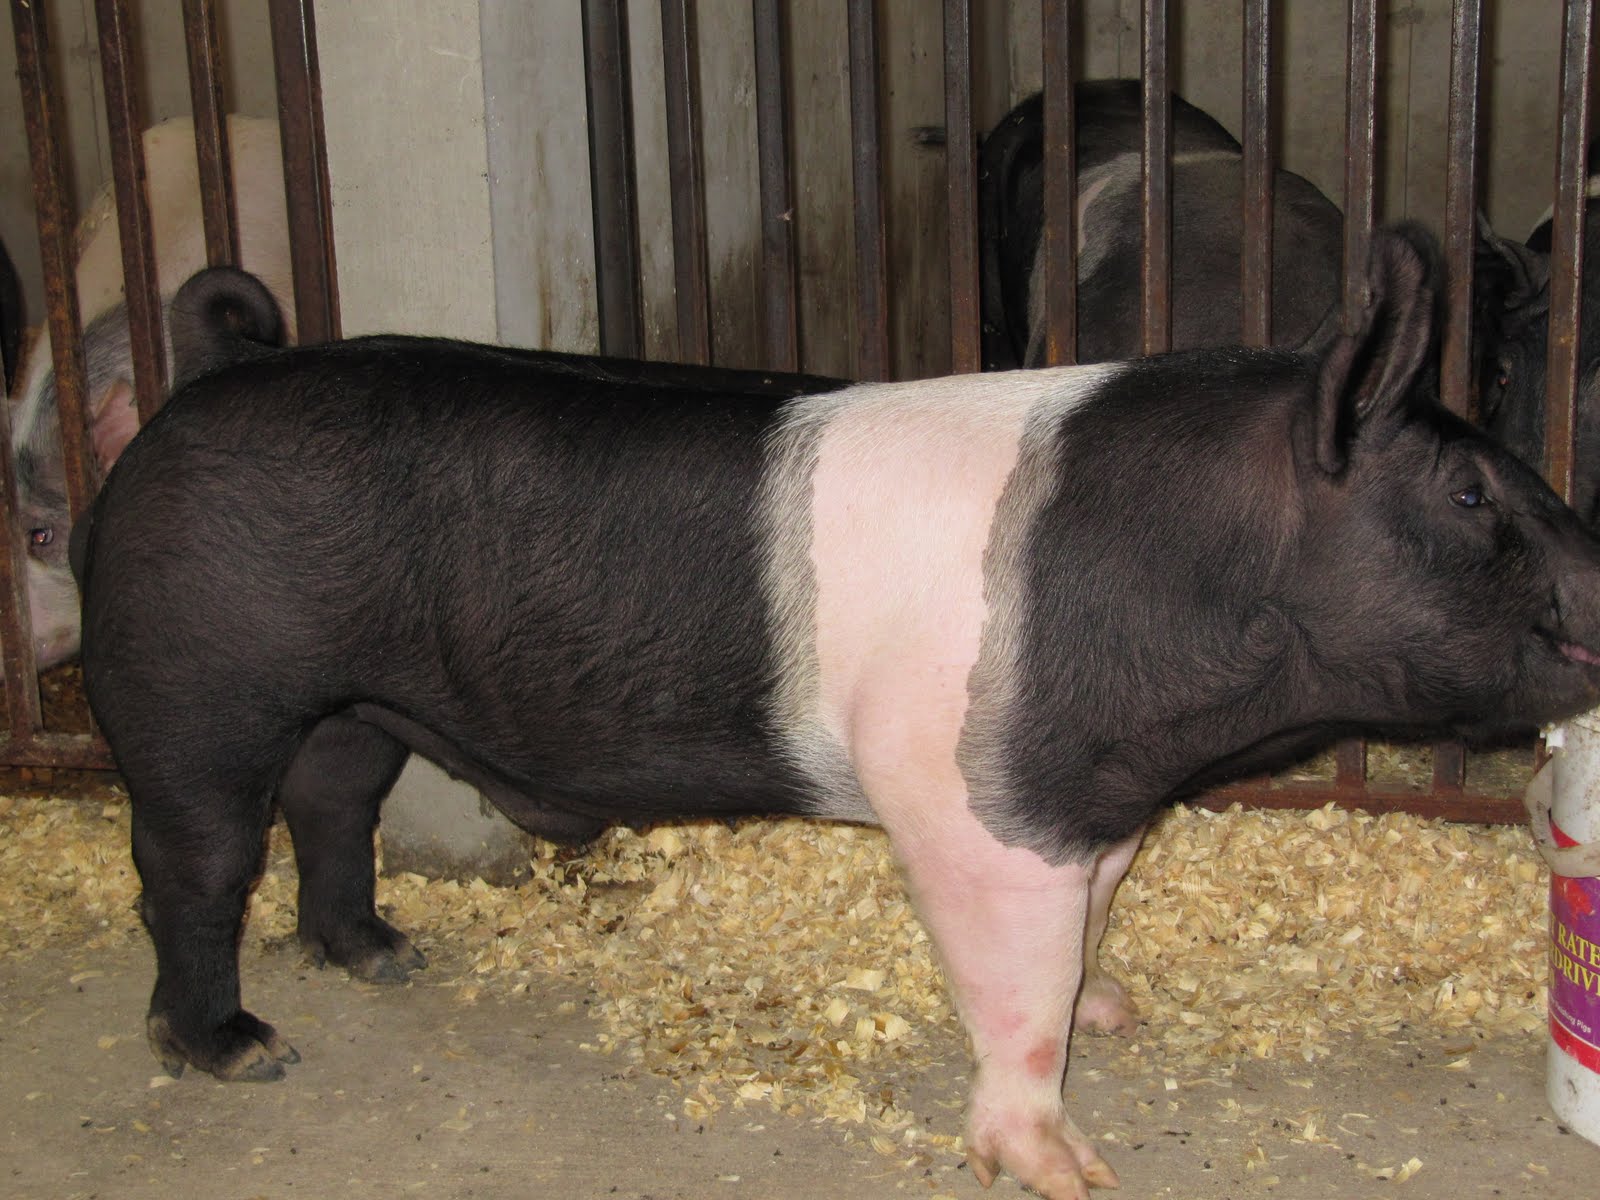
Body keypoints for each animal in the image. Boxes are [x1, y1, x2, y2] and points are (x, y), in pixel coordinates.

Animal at [76, 231, 1600, 1199]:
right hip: (195, 671)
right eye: (1471, 493)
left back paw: (383, 958)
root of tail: (209, 375)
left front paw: (1114, 1012)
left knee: (334, 795)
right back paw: (240, 1048)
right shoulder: (969, 799)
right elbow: (1012, 985)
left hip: (356, 695)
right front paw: (1064, 1166)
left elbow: (1091, 925)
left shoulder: (1092, 794)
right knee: (194, 859)